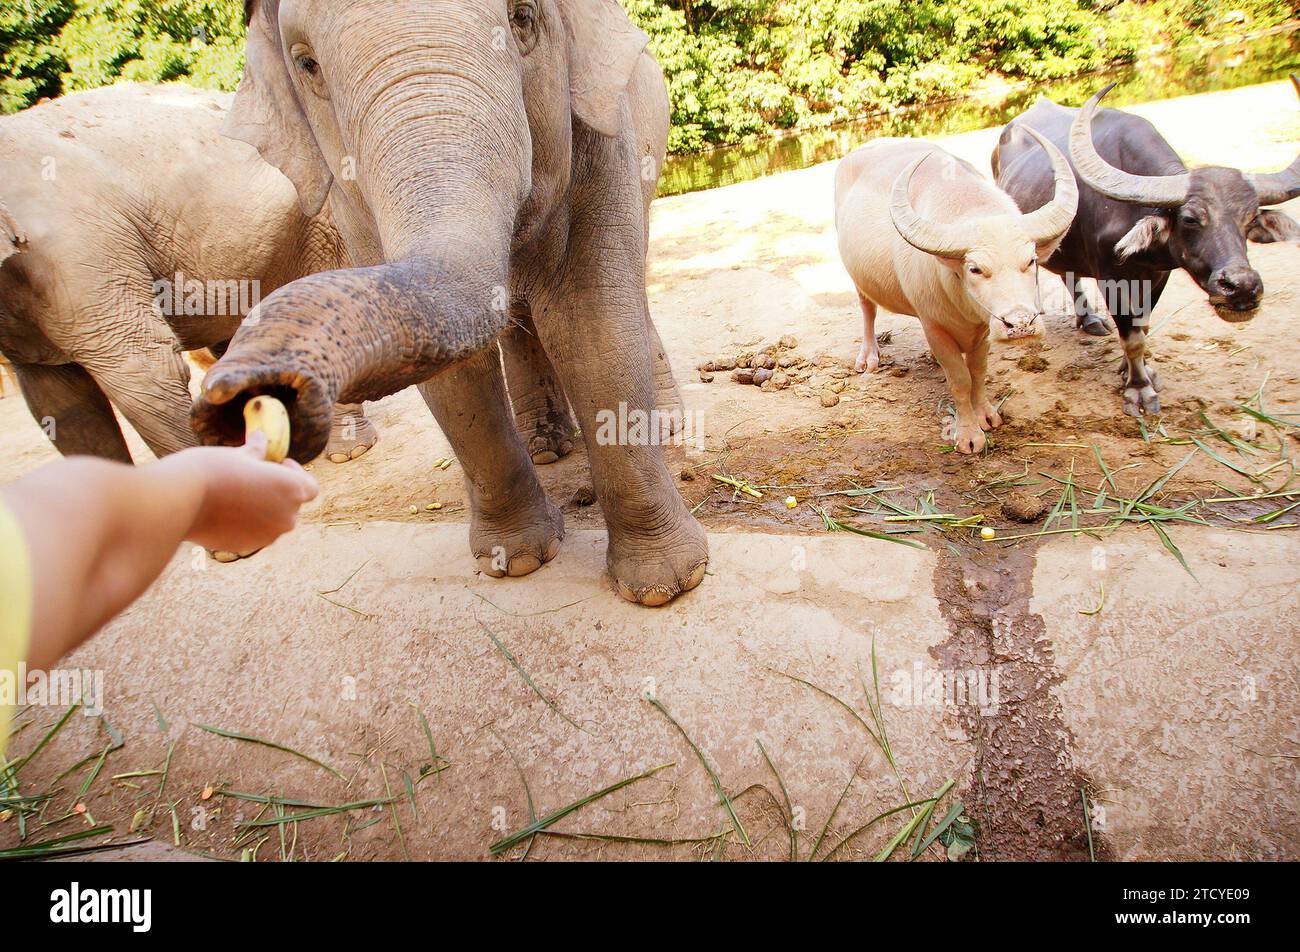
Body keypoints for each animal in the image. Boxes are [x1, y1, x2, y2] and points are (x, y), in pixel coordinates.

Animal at [191, 0, 707, 606]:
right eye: (307, 63)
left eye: (523, 17)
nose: (232, 395)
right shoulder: (353, 211)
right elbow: (452, 373)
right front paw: (516, 562)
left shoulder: (602, 141)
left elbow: (593, 325)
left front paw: (666, 586)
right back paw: (546, 448)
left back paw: (662, 427)